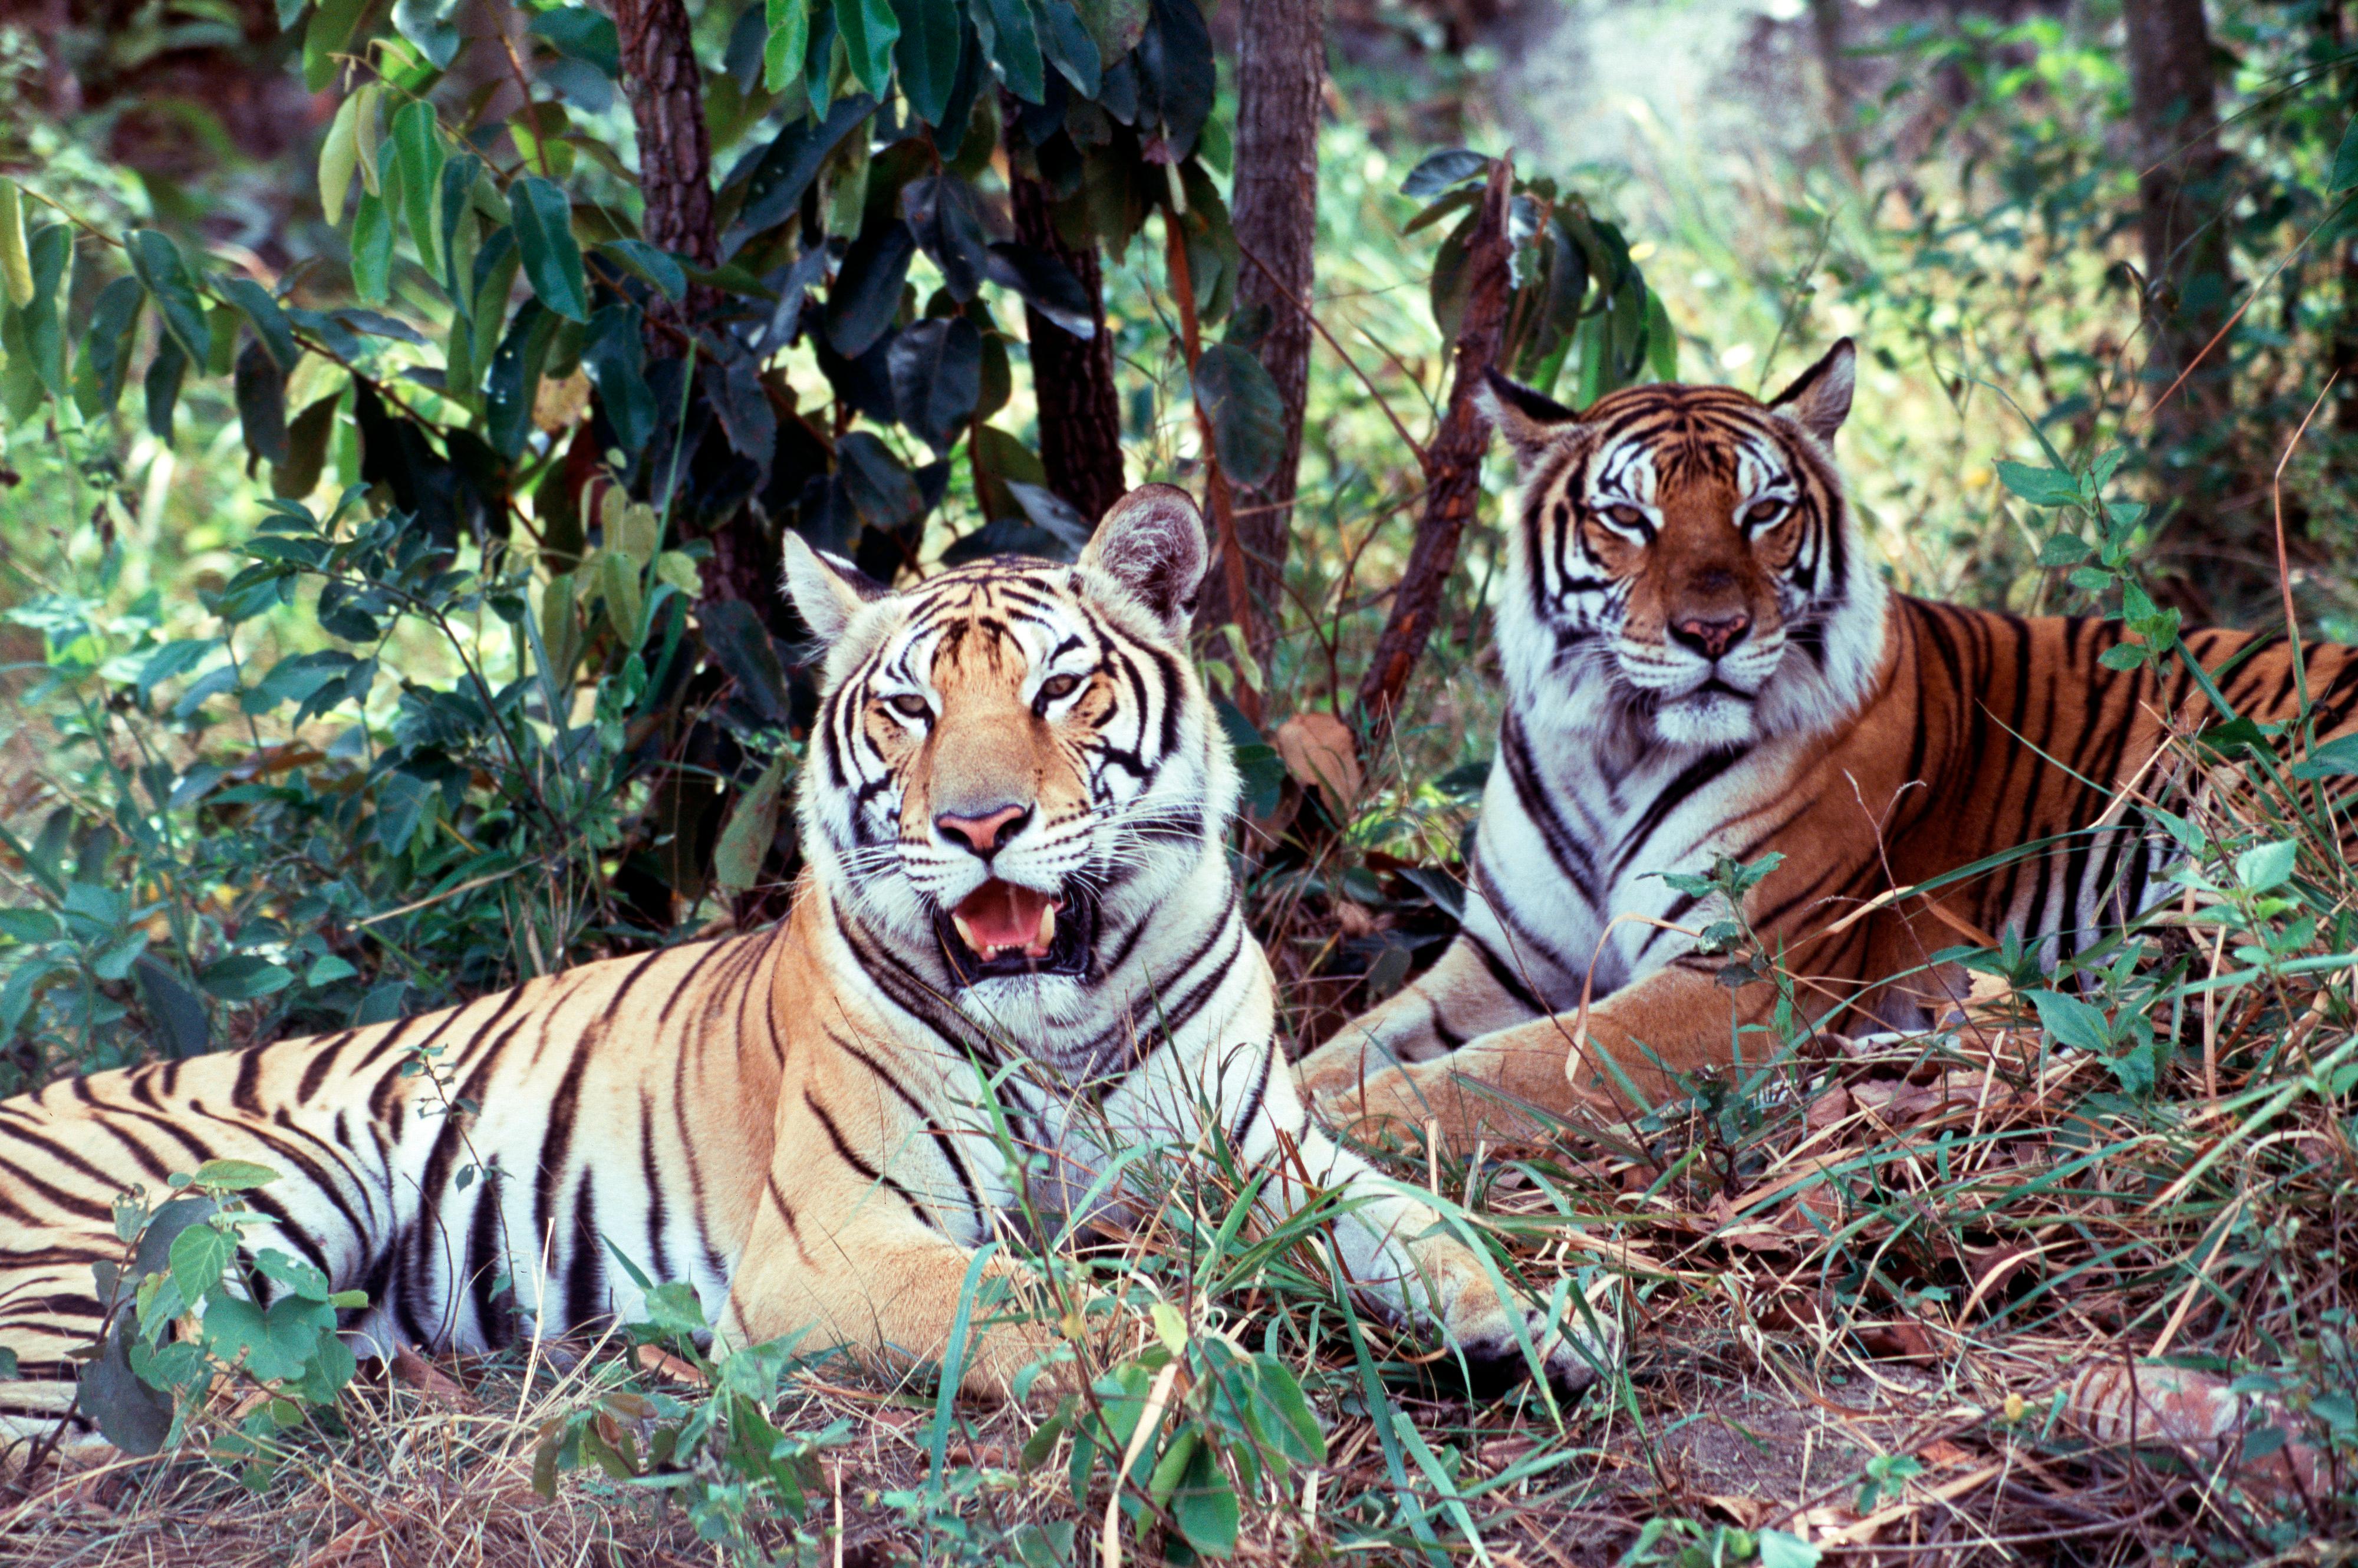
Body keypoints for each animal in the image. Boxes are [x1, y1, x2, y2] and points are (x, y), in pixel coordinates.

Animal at [0, 485, 1605, 1464]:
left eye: (1058, 687)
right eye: (907, 708)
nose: (978, 826)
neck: (1066, 1014)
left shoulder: (1264, 1151)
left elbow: (1426, 1225)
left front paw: (1544, 1322)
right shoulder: (832, 1242)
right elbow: (1043, 1300)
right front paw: (1199, 1370)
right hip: (213, 1208)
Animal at [1295, 340, 2358, 1149]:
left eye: (1762, 512)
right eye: (1627, 518)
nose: (1713, 631)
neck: (1613, 746)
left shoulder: (1737, 975)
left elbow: (1515, 1065)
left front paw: (1345, 1129)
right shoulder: (1501, 961)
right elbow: (1347, 1042)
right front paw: (1272, 1106)